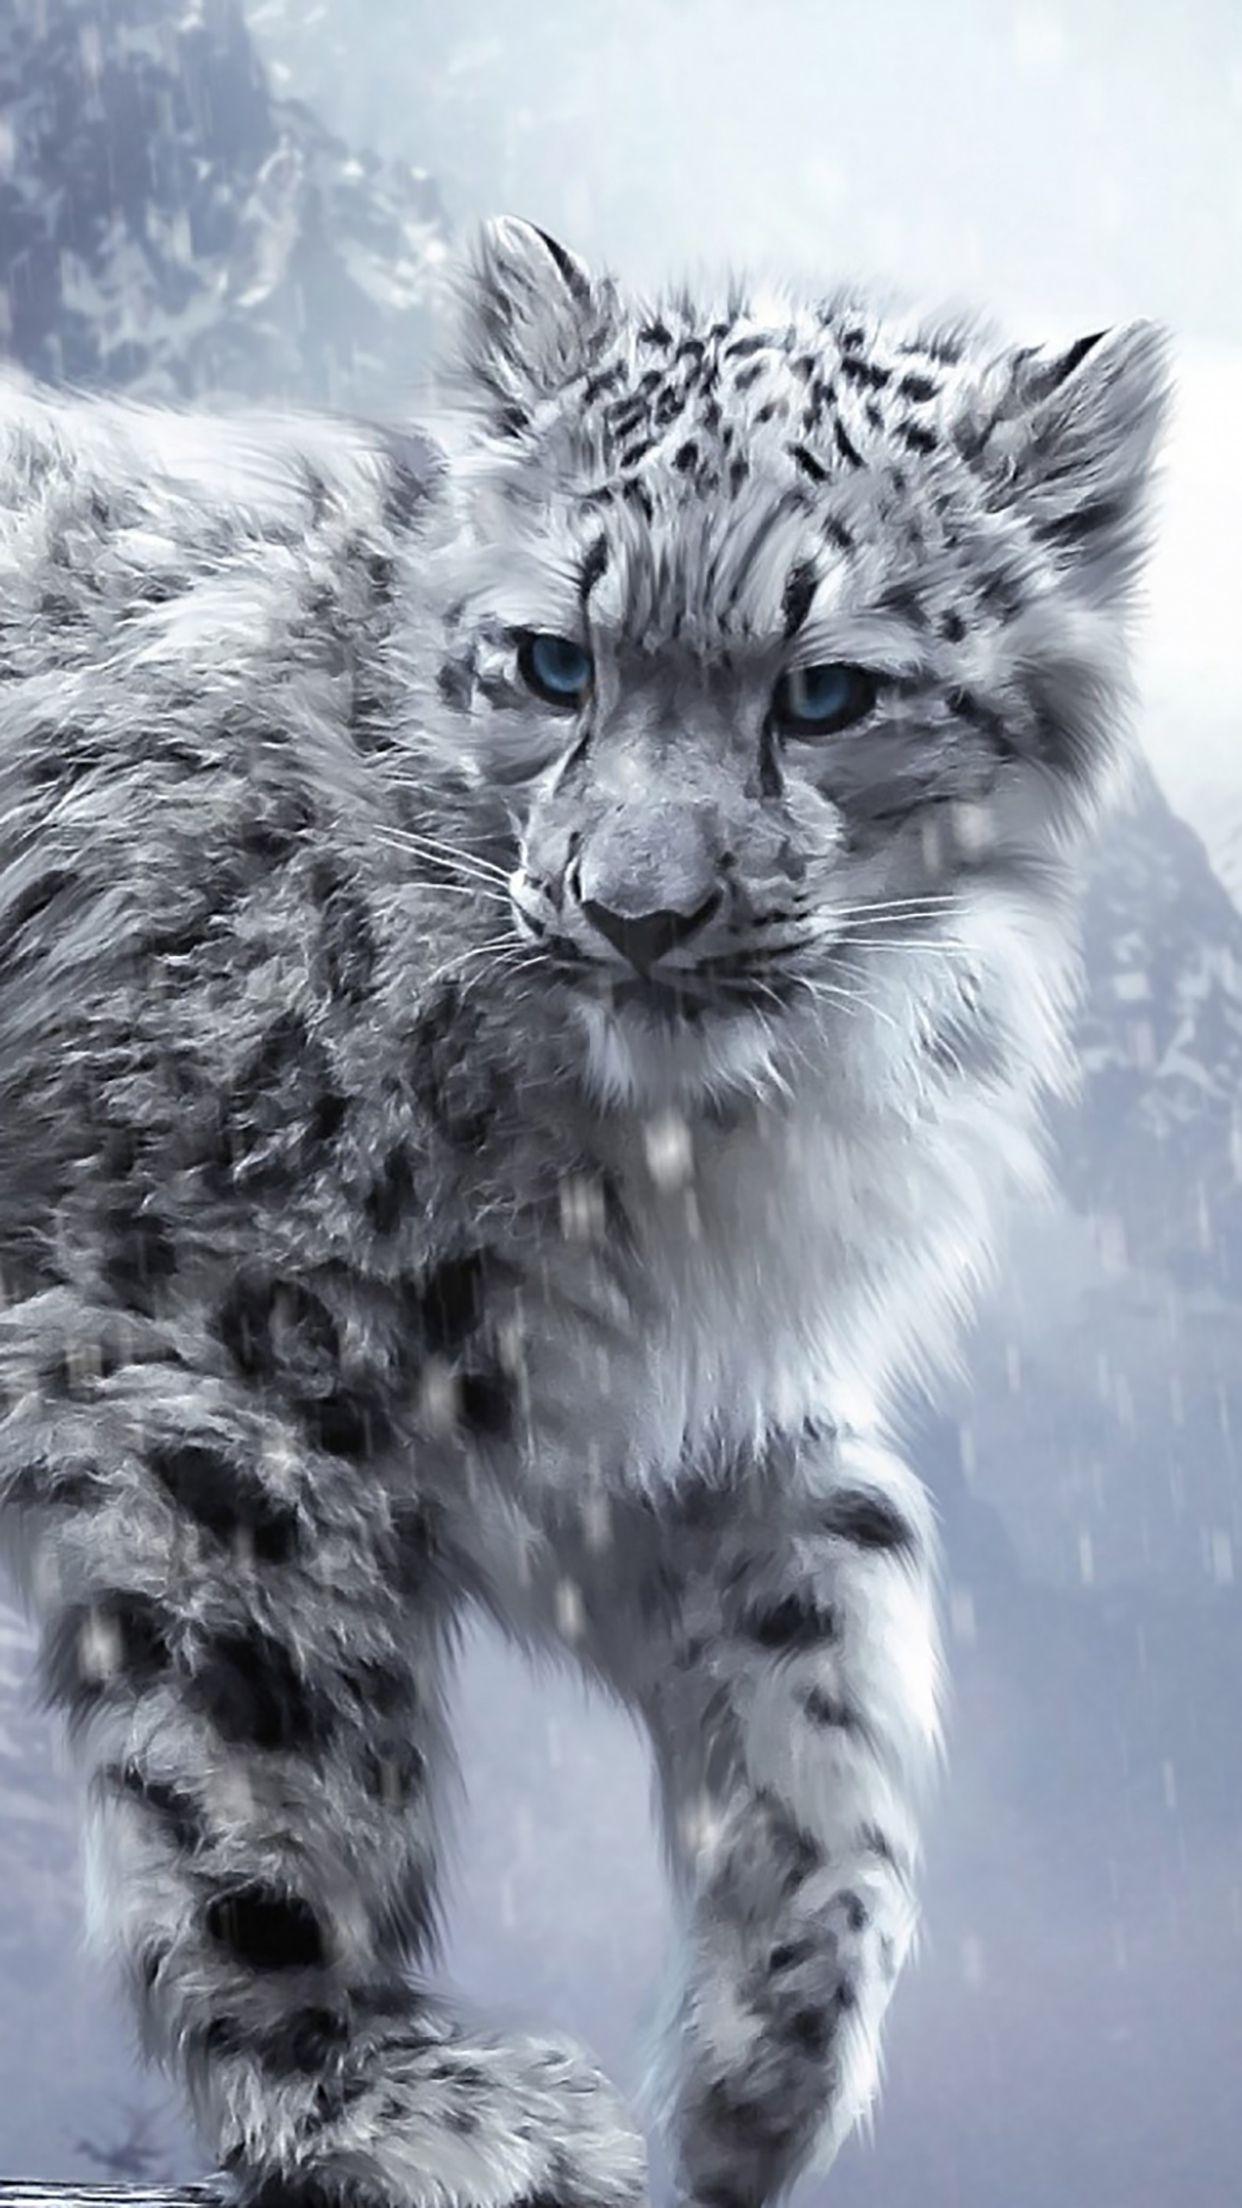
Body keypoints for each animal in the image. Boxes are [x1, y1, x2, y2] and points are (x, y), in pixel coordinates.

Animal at [0, 218, 1167, 2208]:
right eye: (555, 661)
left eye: (824, 692)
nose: (637, 911)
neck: (678, 1163)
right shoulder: (204, 1353)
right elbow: (265, 1733)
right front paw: (370, 2087)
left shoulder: (641, 1402)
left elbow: (836, 1619)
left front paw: (762, 2075)